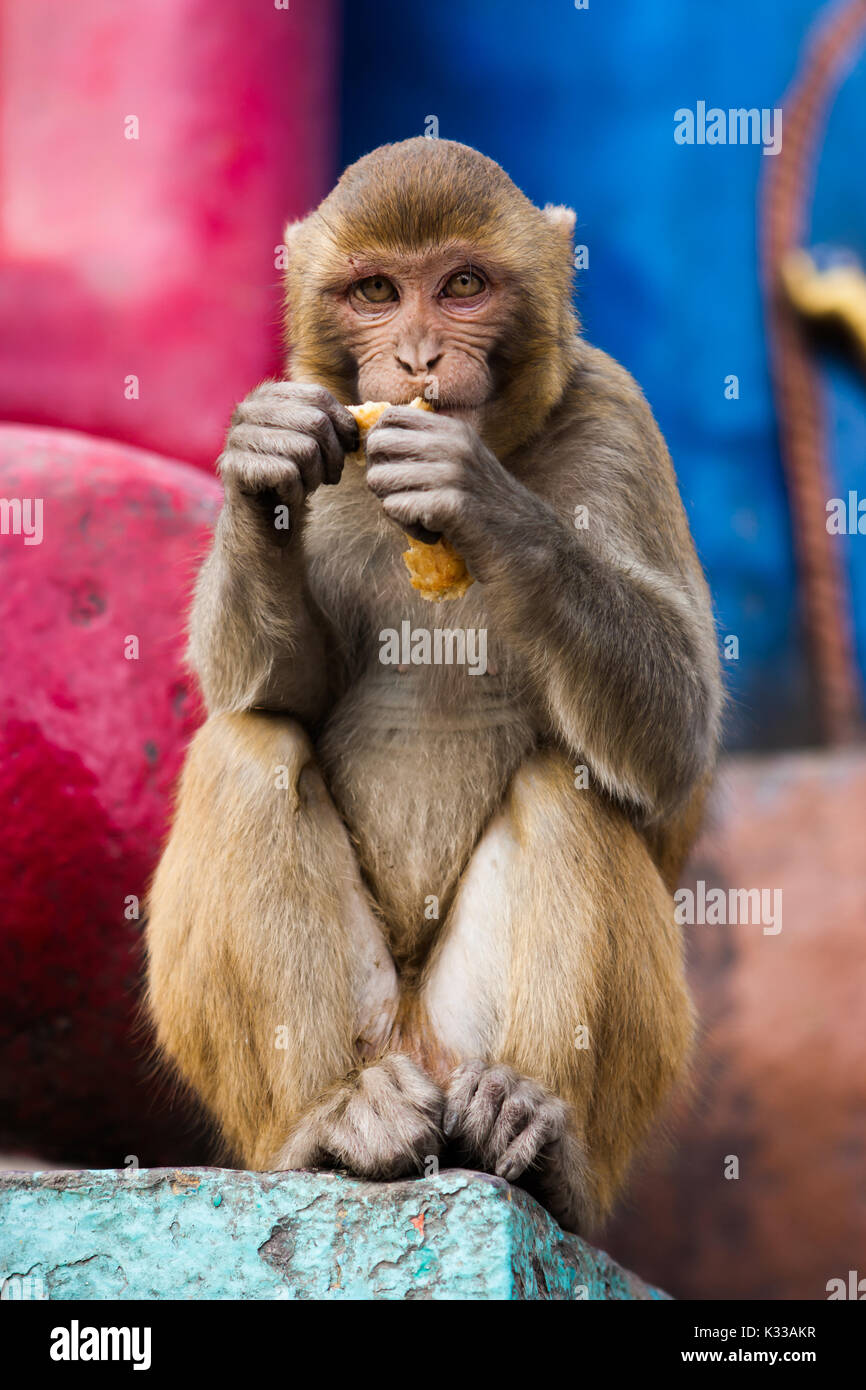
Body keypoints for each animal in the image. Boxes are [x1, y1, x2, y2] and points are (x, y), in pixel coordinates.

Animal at [146, 137, 721, 1235]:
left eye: (461, 287)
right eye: (376, 291)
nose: (413, 361)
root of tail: (415, 1045)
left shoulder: (617, 415)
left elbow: (676, 739)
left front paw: (480, 499)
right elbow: (276, 687)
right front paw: (262, 464)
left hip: (484, 1048)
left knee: (567, 785)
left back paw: (531, 1135)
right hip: (362, 1044)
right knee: (249, 746)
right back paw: (333, 1125)